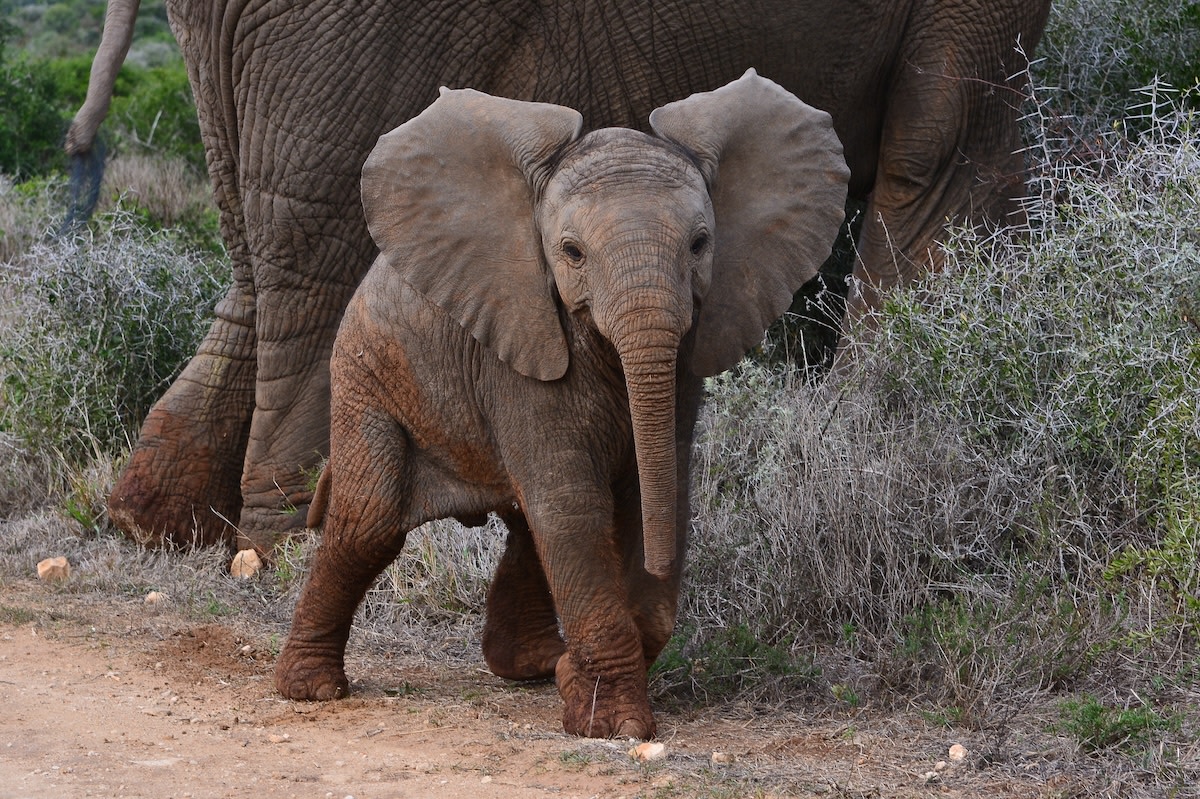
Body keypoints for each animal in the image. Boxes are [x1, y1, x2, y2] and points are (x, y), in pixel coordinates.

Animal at [273, 72, 849, 739]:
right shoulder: (518, 347)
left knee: (523, 524)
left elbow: (655, 490)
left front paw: (578, 678)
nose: (659, 568)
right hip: (366, 372)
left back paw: (530, 666)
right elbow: (574, 503)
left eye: (702, 244)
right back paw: (310, 690)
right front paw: (614, 725)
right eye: (571, 252)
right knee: (370, 524)